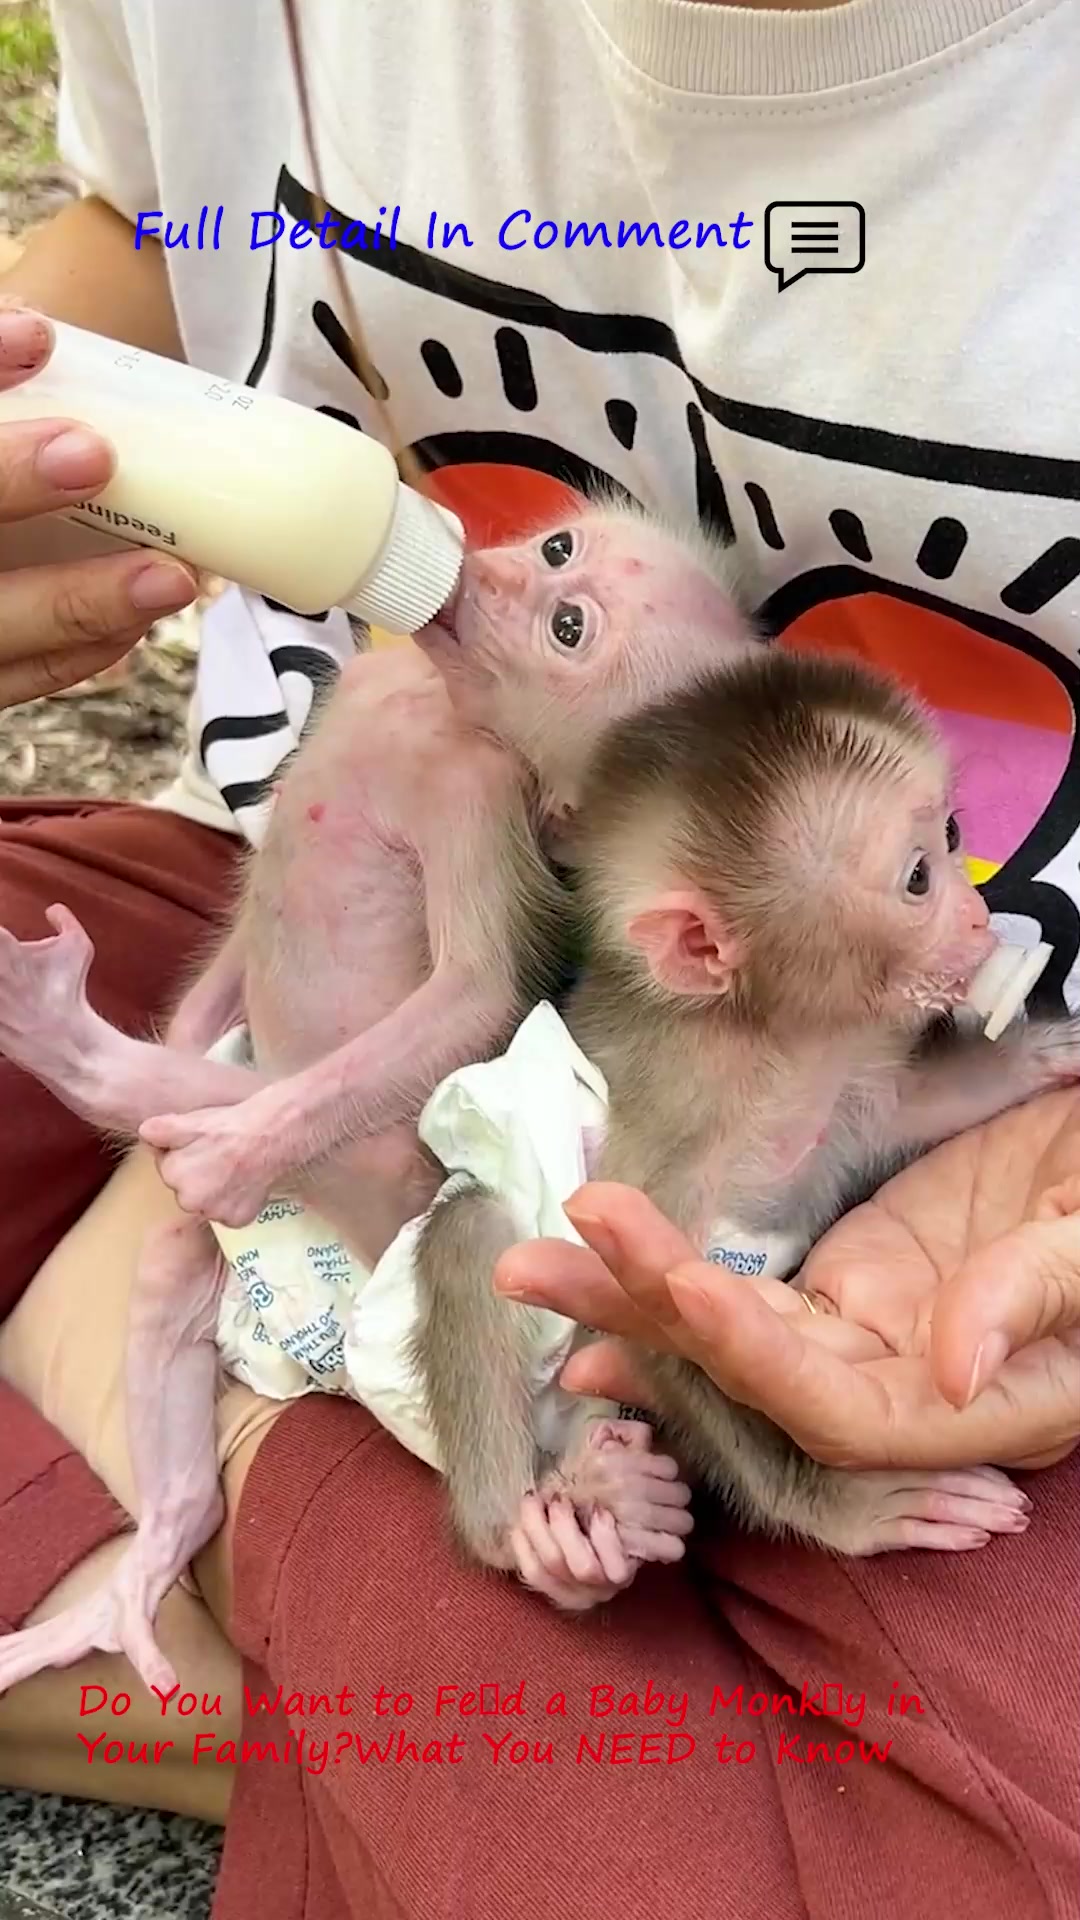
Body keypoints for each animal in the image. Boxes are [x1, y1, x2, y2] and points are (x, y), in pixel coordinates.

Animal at [0, 504, 755, 1694]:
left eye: (569, 628)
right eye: (560, 553)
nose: (478, 571)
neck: (437, 703)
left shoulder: (483, 796)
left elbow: (478, 991)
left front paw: (221, 1141)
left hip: (388, 1162)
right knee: (173, 1276)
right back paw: (154, 1554)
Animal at [411, 646, 1080, 1611]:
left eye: (956, 836)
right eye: (919, 879)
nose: (981, 920)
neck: (778, 1040)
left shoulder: (856, 1070)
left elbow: (912, 1108)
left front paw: (1047, 1053)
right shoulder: (683, 1128)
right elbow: (645, 1309)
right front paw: (844, 1504)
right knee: (473, 1226)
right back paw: (549, 1548)